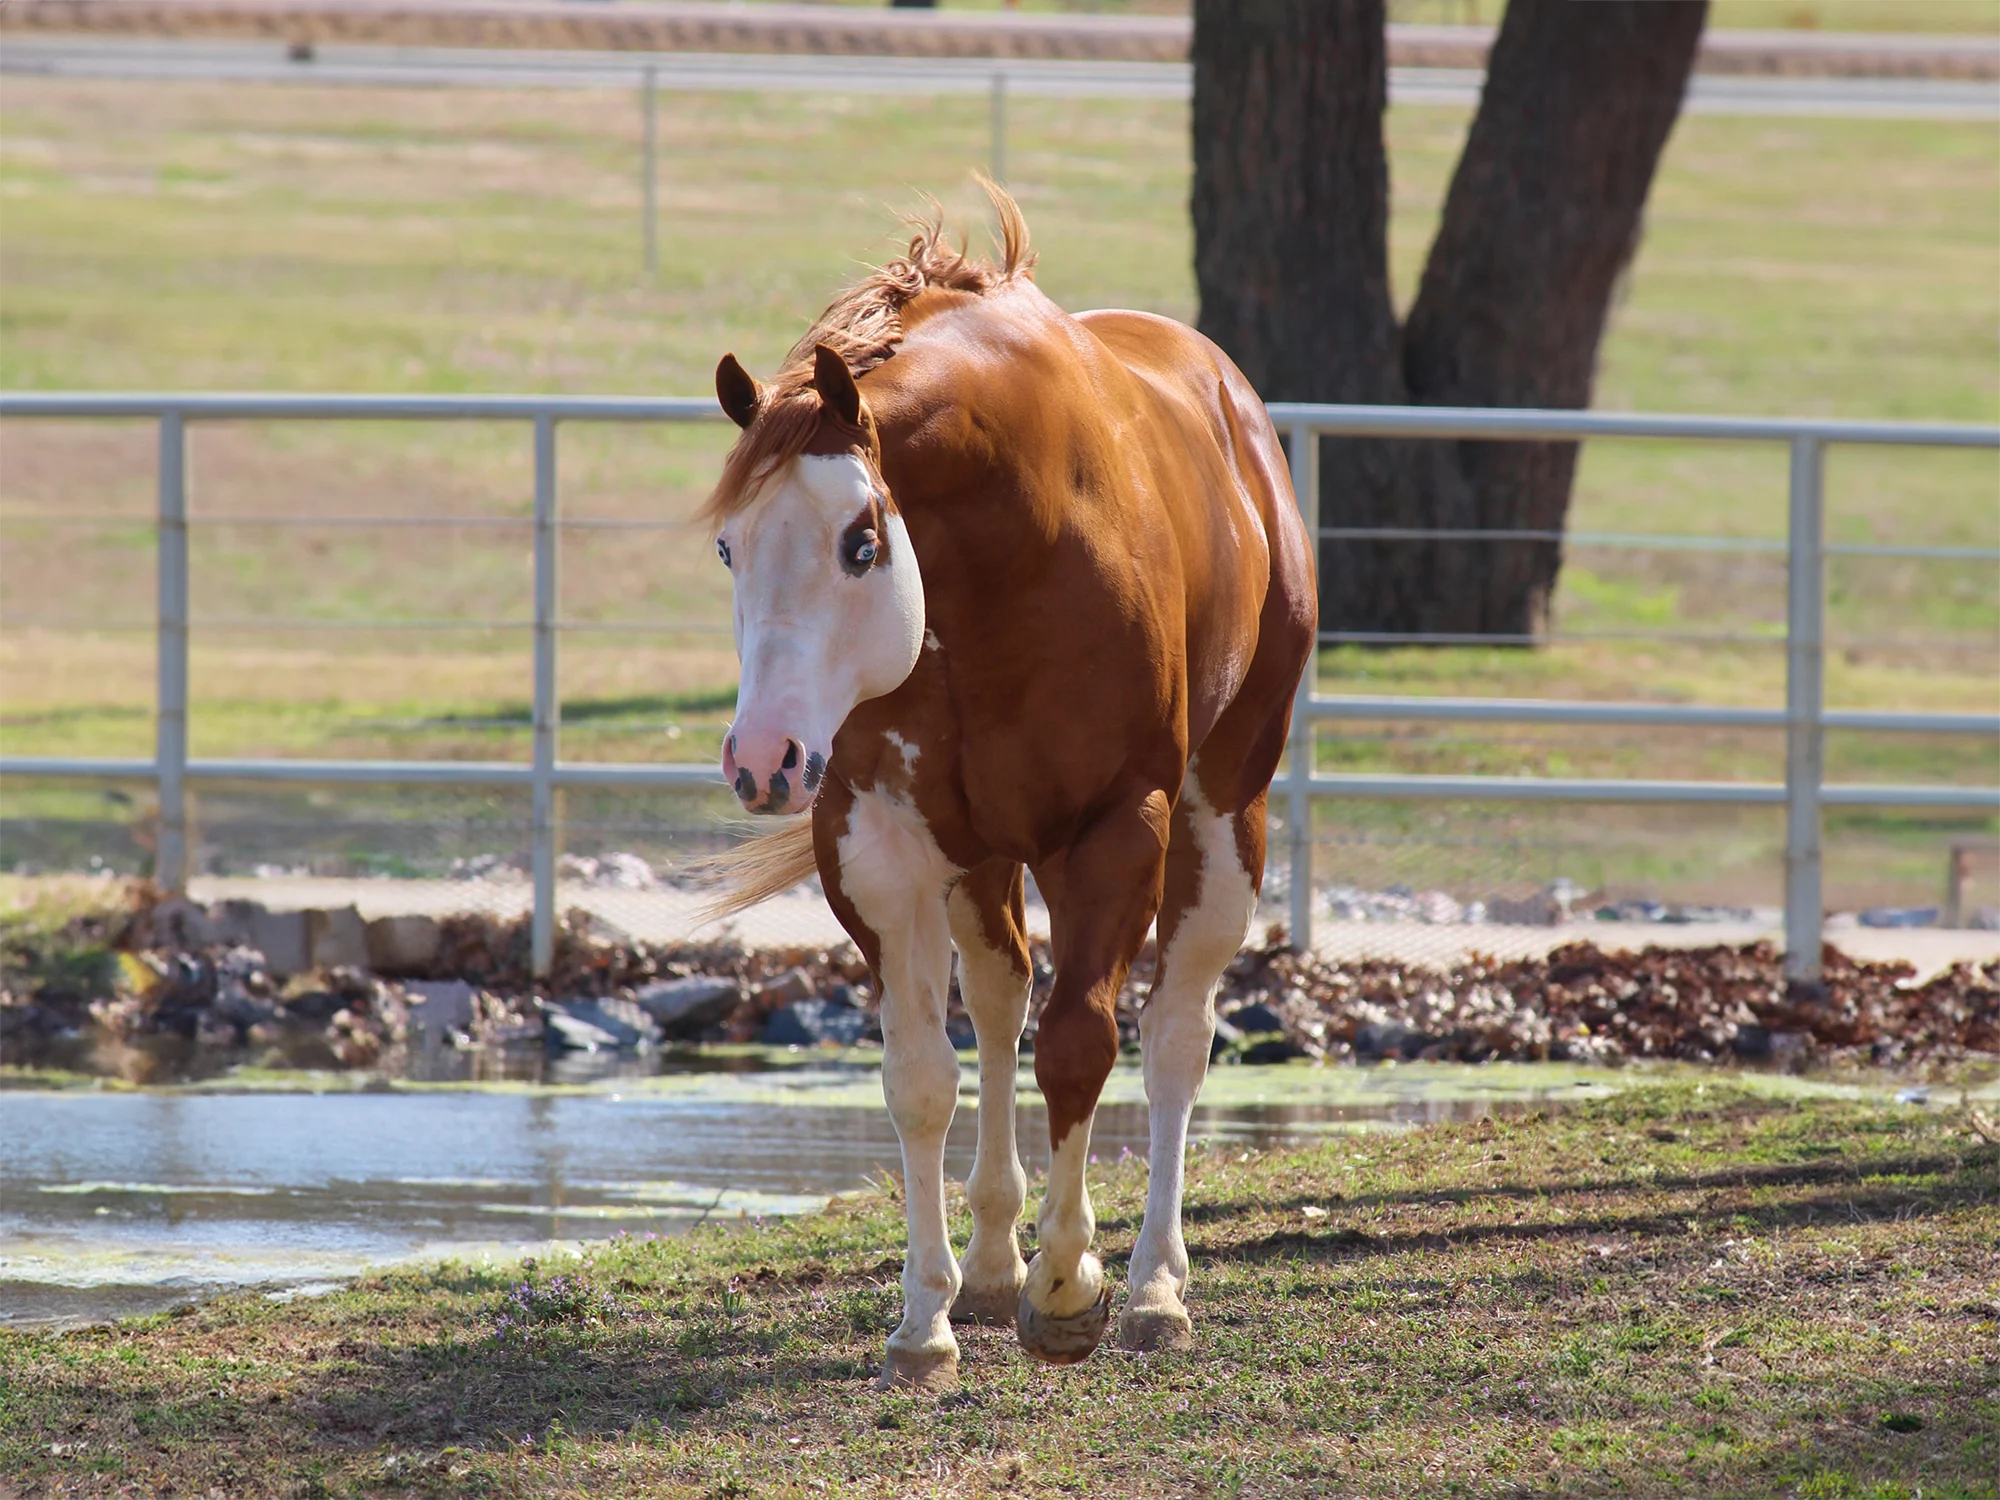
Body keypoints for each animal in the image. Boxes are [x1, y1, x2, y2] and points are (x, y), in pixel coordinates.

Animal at [703, 184, 1316, 1390]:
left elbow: (1081, 1043)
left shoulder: (1115, 831)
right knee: (998, 1003)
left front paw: (1070, 1287)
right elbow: (921, 1076)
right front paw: (925, 1319)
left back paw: (1154, 1285)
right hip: (980, 857)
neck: (999, 560)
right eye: (727, 550)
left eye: (858, 541)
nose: (765, 758)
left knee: (1175, 1034)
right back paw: (990, 1266)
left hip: (1225, 809)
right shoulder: (881, 851)